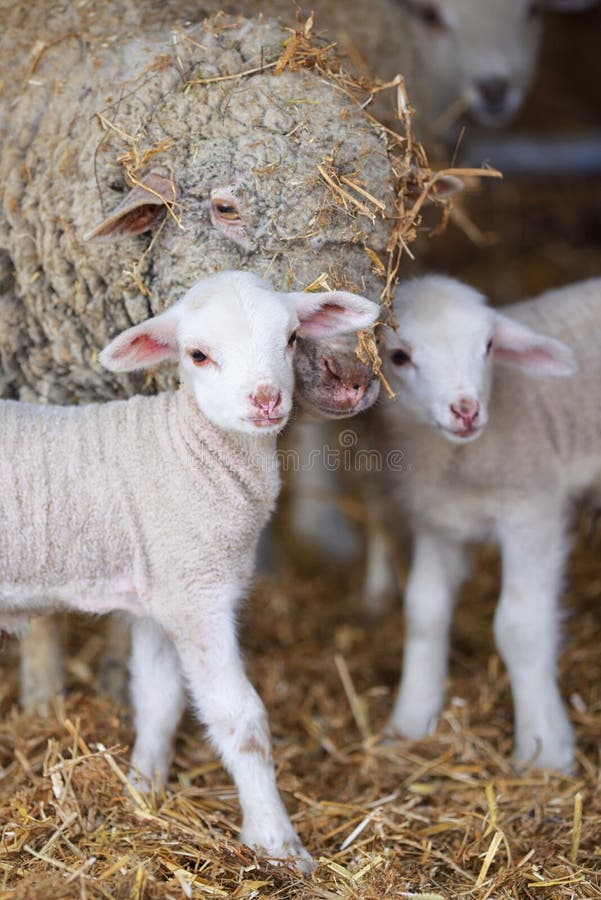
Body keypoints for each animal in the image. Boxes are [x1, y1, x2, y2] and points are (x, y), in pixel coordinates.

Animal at [0, 269, 379, 868]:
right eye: (198, 355)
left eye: (292, 337)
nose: (266, 400)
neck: (186, 451)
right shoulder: (197, 595)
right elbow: (239, 718)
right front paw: (278, 844)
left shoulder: (163, 592)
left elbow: (159, 701)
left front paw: (142, 793)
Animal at [363, 274, 600, 772]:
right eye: (399, 356)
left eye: (489, 346)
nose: (466, 410)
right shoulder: (439, 521)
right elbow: (424, 611)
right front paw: (408, 723)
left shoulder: (532, 510)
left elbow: (520, 627)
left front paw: (543, 750)